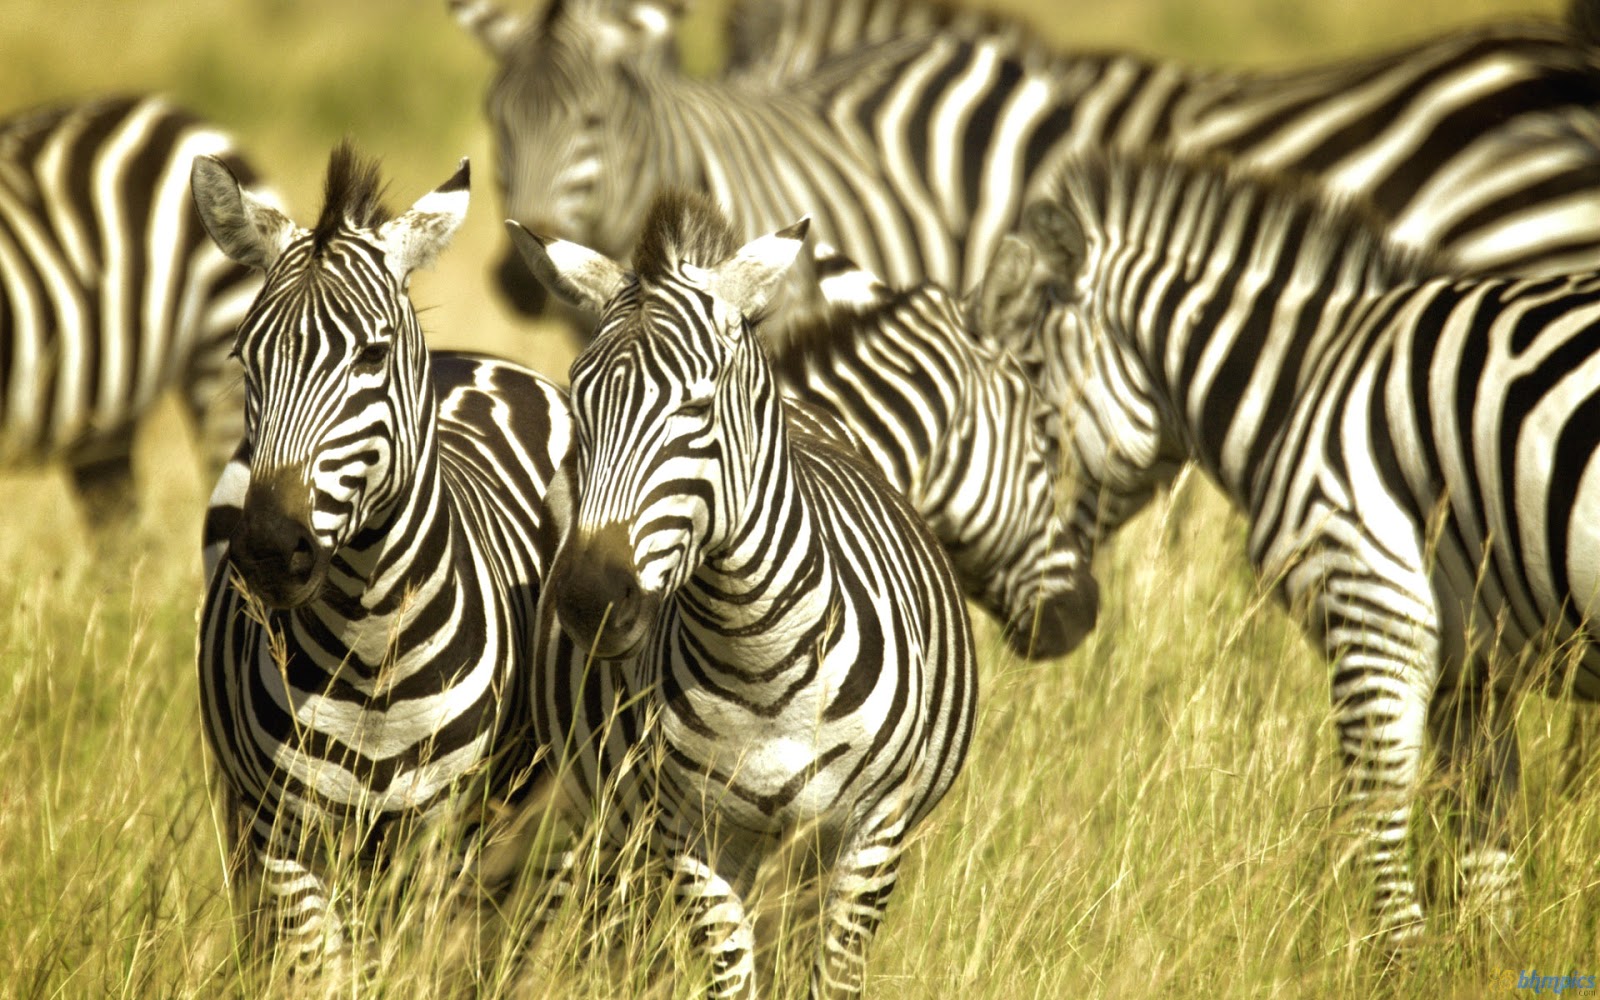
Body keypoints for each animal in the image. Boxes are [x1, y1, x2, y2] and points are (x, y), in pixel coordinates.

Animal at [191, 143, 570, 972]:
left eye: (371, 355)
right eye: (245, 358)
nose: (268, 552)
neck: (368, 660)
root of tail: (471, 358)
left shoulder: (443, 838)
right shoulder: (280, 834)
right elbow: (323, 967)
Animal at [505, 189, 977, 997]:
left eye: (697, 409)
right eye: (580, 404)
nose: (591, 601)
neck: (758, 659)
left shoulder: (872, 838)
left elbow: (832, 979)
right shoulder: (692, 837)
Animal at [972, 148, 1600, 948]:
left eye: (1025, 376)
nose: (1045, 629)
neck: (1299, 385)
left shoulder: (1371, 607)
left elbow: (1376, 826)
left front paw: (1397, 961)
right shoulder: (1471, 668)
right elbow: (1488, 863)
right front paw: (1486, 960)